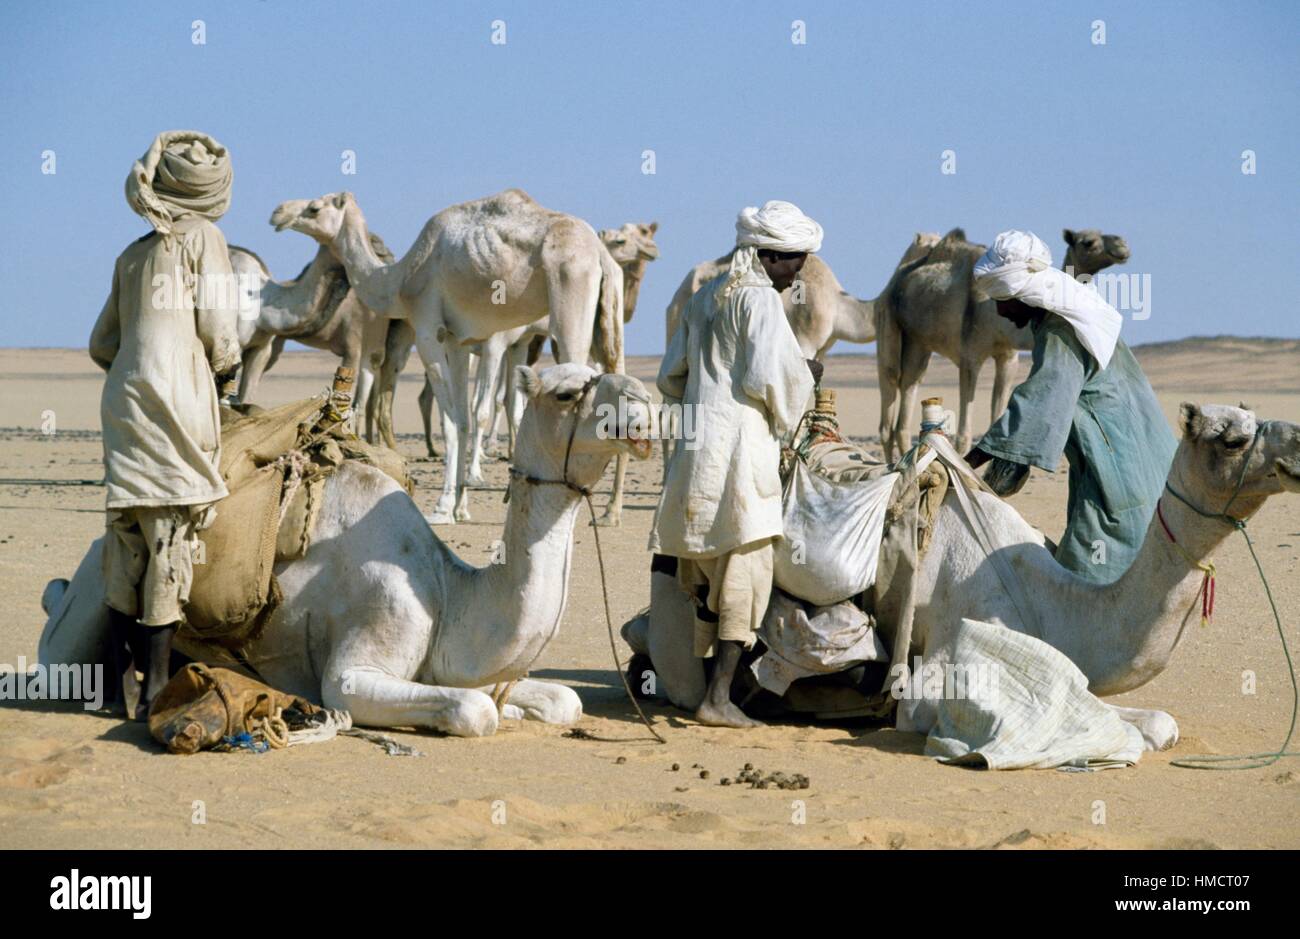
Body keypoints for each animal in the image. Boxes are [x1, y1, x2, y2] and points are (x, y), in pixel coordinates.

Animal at [39, 364, 656, 737]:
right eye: (567, 393)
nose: (644, 403)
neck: (449, 590)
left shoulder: (448, 664)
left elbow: (564, 700)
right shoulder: (354, 667)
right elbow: (475, 710)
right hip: (88, 599)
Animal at [269, 189, 627, 525]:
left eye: (314, 207)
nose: (277, 213)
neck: (400, 278)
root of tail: (600, 253)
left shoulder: (429, 331)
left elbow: (452, 420)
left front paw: (442, 508)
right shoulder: (458, 341)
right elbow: (465, 419)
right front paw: (460, 507)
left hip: (570, 290)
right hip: (608, 312)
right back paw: (607, 510)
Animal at [877, 228, 1130, 460]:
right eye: (1088, 242)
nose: (1122, 245)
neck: (996, 318)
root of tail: (902, 275)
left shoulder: (1008, 357)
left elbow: (995, 419)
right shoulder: (970, 356)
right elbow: (964, 434)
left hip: (921, 343)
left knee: (909, 391)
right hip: (894, 323)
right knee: (891, 396)